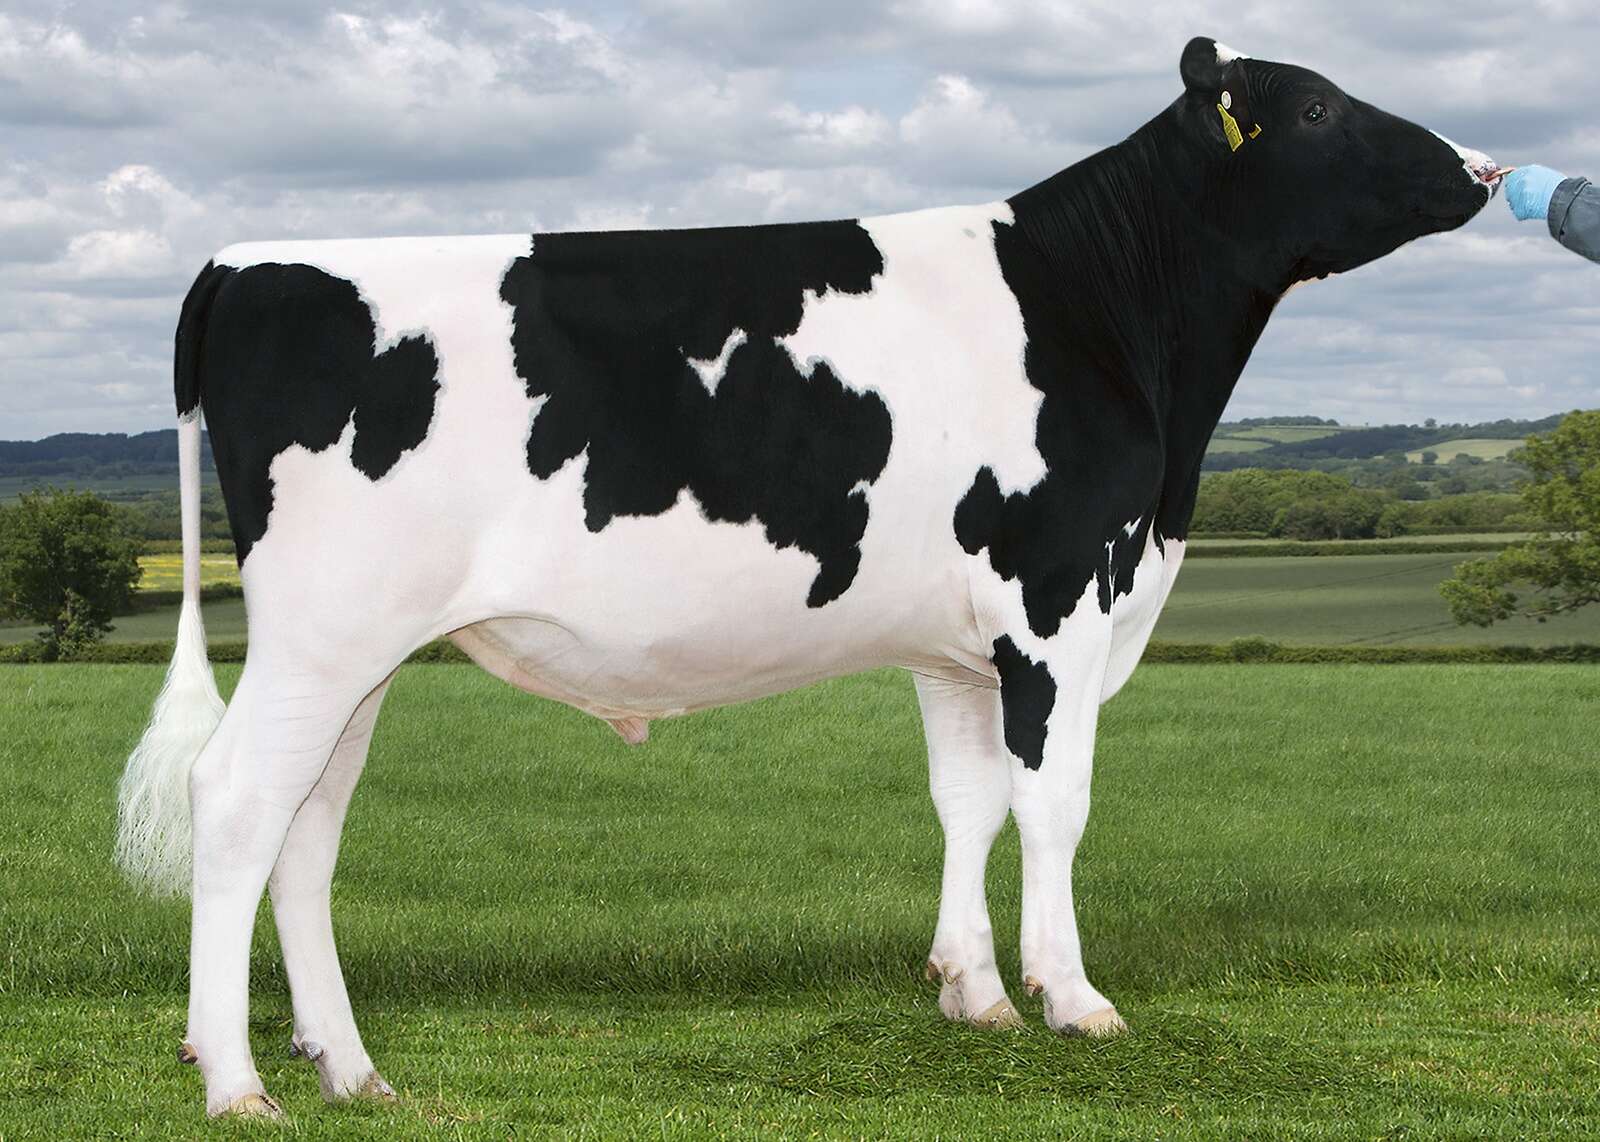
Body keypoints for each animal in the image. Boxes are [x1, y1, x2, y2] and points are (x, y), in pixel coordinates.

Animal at [115, 36, 1505, 1118]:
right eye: (1316, 107)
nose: (1484, 169)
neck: (1109, 318)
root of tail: (244, 260)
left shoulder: (961, 643)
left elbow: (968, 803)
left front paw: (974, 992)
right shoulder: (1055, 597)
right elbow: (1053, 805)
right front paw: (1073, 997)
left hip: (358, 652)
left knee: (306, 826)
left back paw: (350, 1068)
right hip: (321, 632)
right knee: (234, 800)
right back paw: (235, 1078)